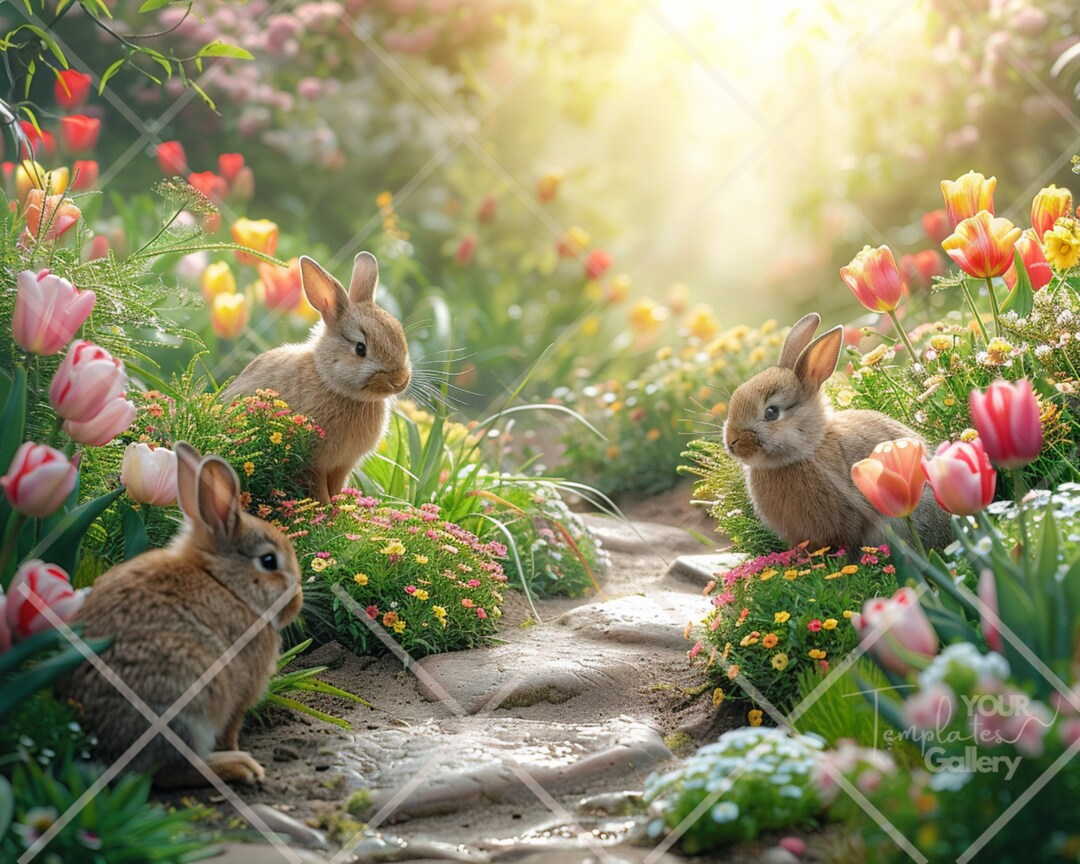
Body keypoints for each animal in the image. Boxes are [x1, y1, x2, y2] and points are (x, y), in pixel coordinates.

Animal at [57, 443, 303, 788]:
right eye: (269, 561)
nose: (296, 603)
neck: (225, 584)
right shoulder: (239, 695)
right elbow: (231, 729)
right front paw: (236, 751)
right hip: (190, 698)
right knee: (169, 772)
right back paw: (239, 766)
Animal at [223, 252, 410, 504]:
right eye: (360, 349)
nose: (399, 380)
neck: (331, 383)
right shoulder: (314, 463)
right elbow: (319, 489)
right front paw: (327, 509)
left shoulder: (343, 465)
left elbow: (337, 487)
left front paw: (341, 505)